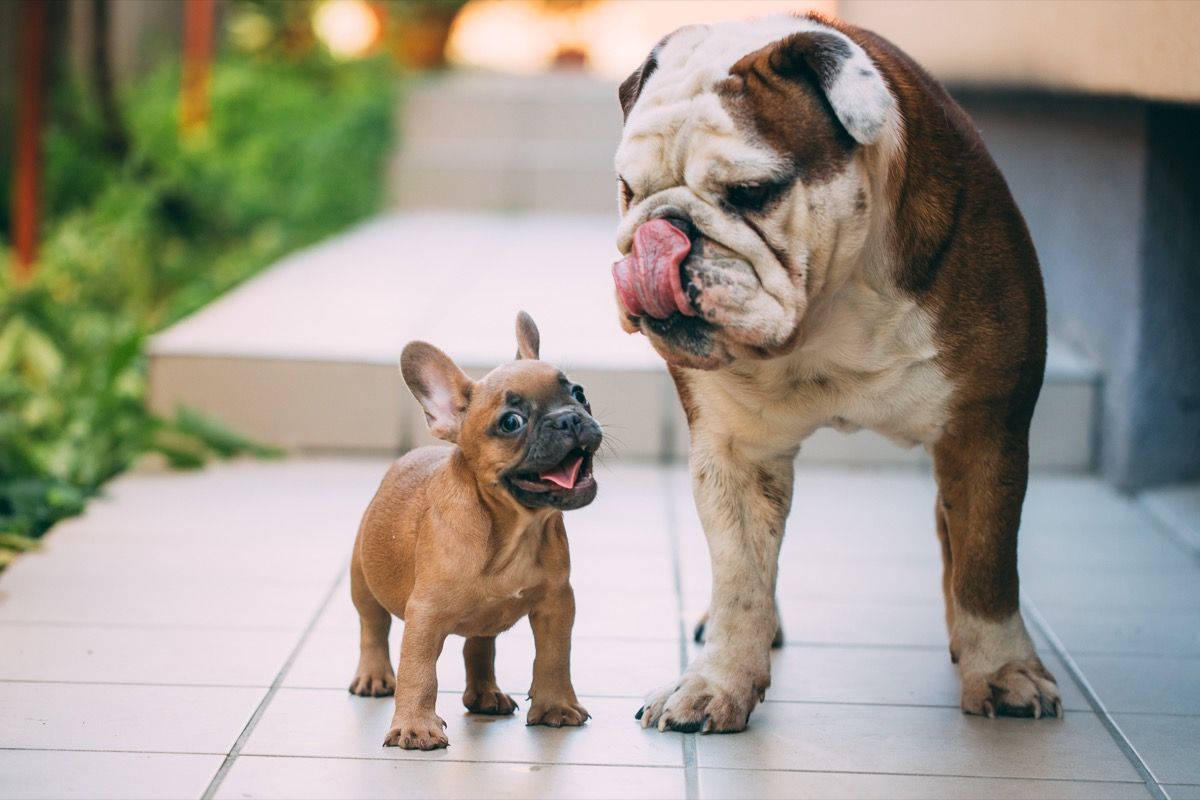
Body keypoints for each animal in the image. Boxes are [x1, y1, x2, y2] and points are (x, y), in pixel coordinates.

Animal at [348, 311, 600, 753]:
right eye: (511, 422)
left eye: (578, 393)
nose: (569, 418)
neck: (514, 529)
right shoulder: (424, 615)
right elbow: (419, 672)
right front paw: (416, 727)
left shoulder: (556, 603)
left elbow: (554, 656)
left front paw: (555, 706)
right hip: (362, 579)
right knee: (373, 628)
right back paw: (374, 675)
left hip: (485, 618)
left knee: (479, 646)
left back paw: (485, 695)